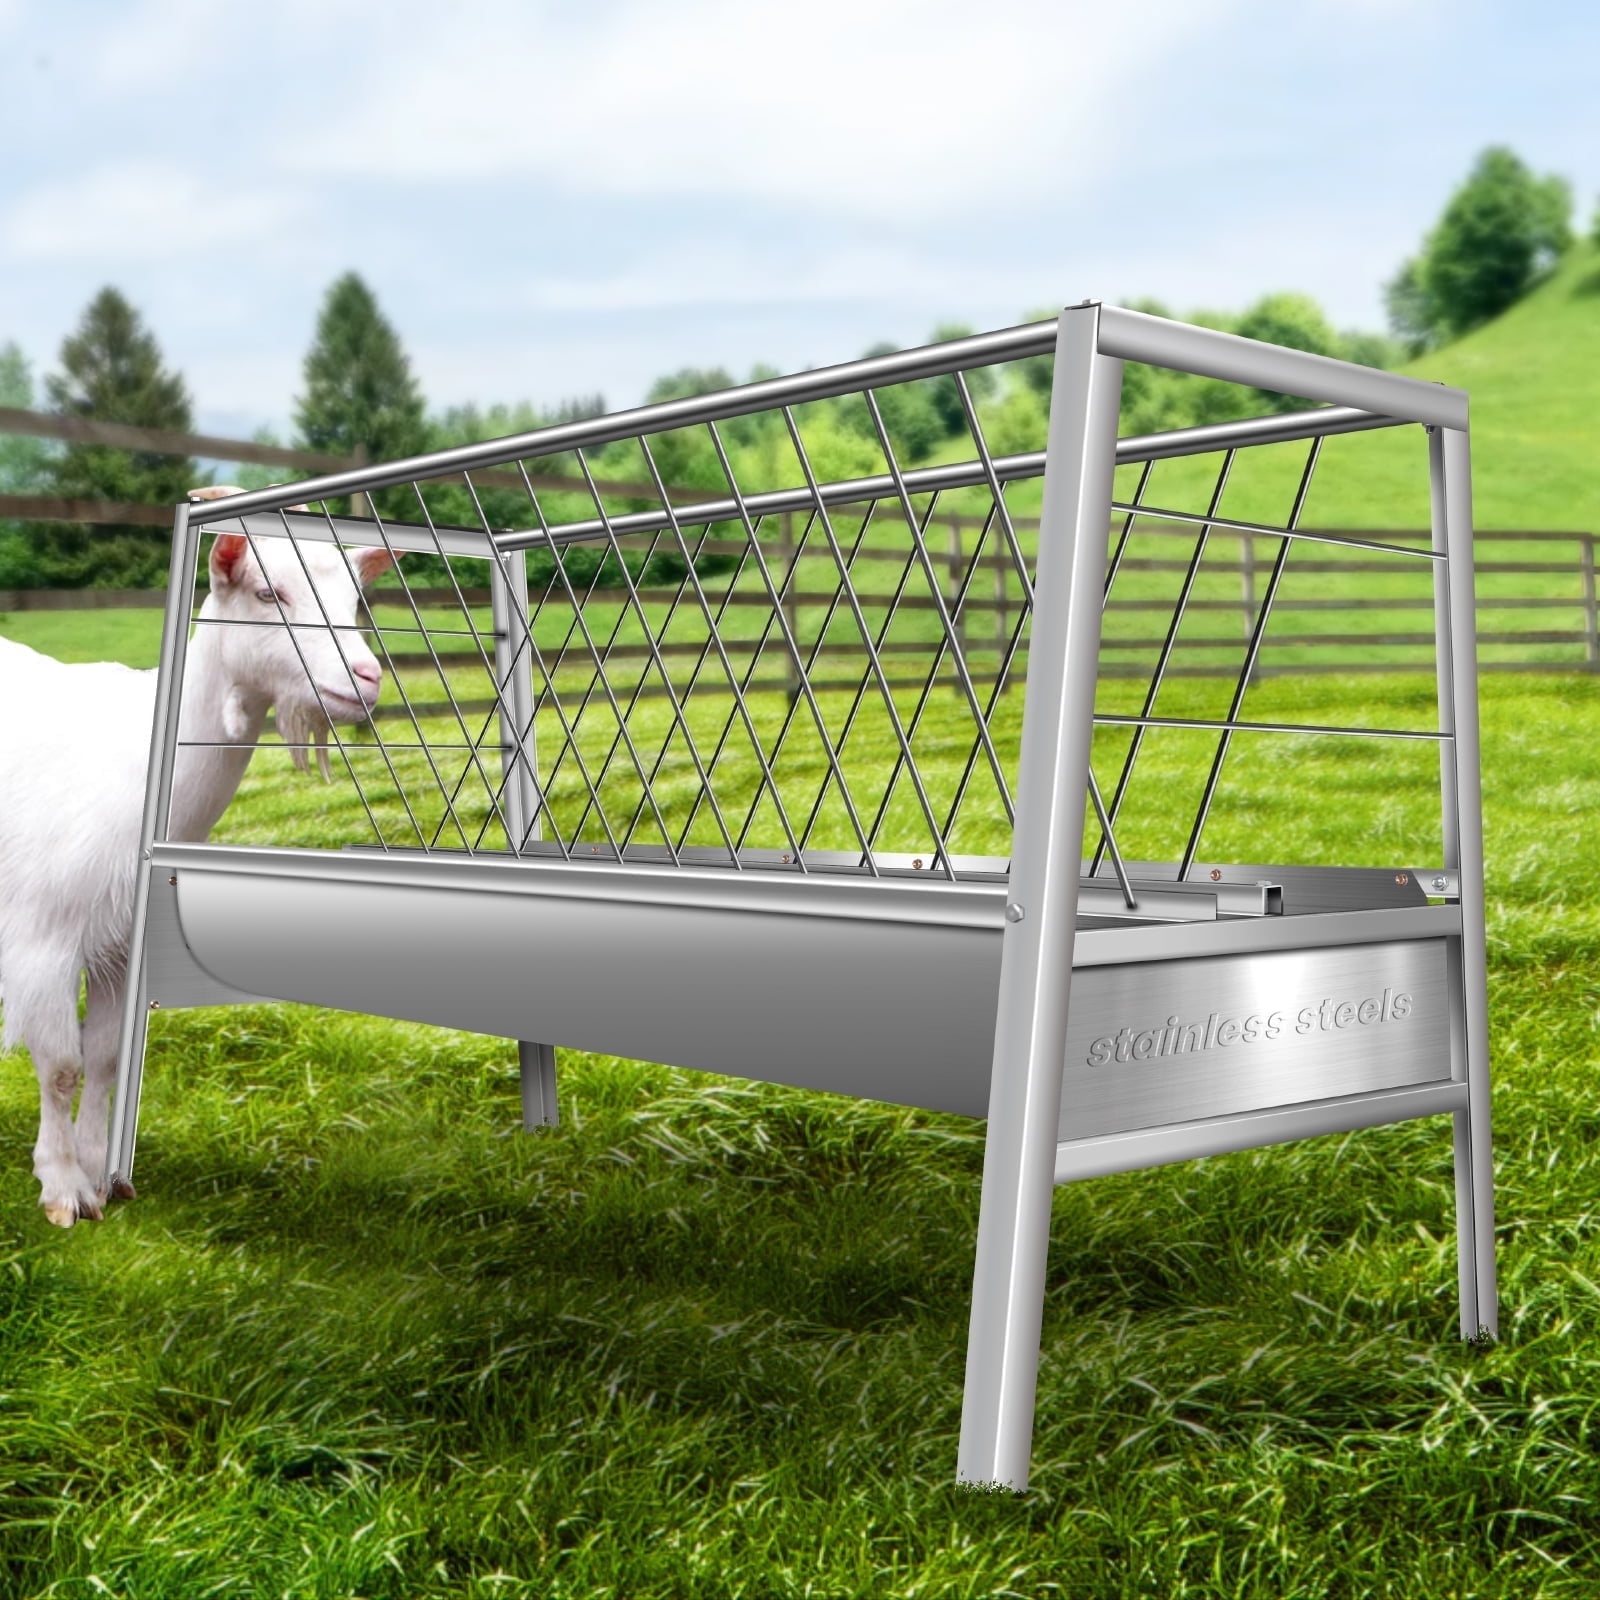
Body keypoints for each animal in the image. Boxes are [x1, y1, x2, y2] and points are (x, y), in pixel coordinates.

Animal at [0, 487, 393, 1225]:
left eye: (355, 598)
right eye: (269, 592)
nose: (364, 679)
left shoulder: (123, 944)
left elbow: (105, 1057)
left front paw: (101, 1177)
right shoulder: (42, 934)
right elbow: (61, 1064)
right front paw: (62, 1189)